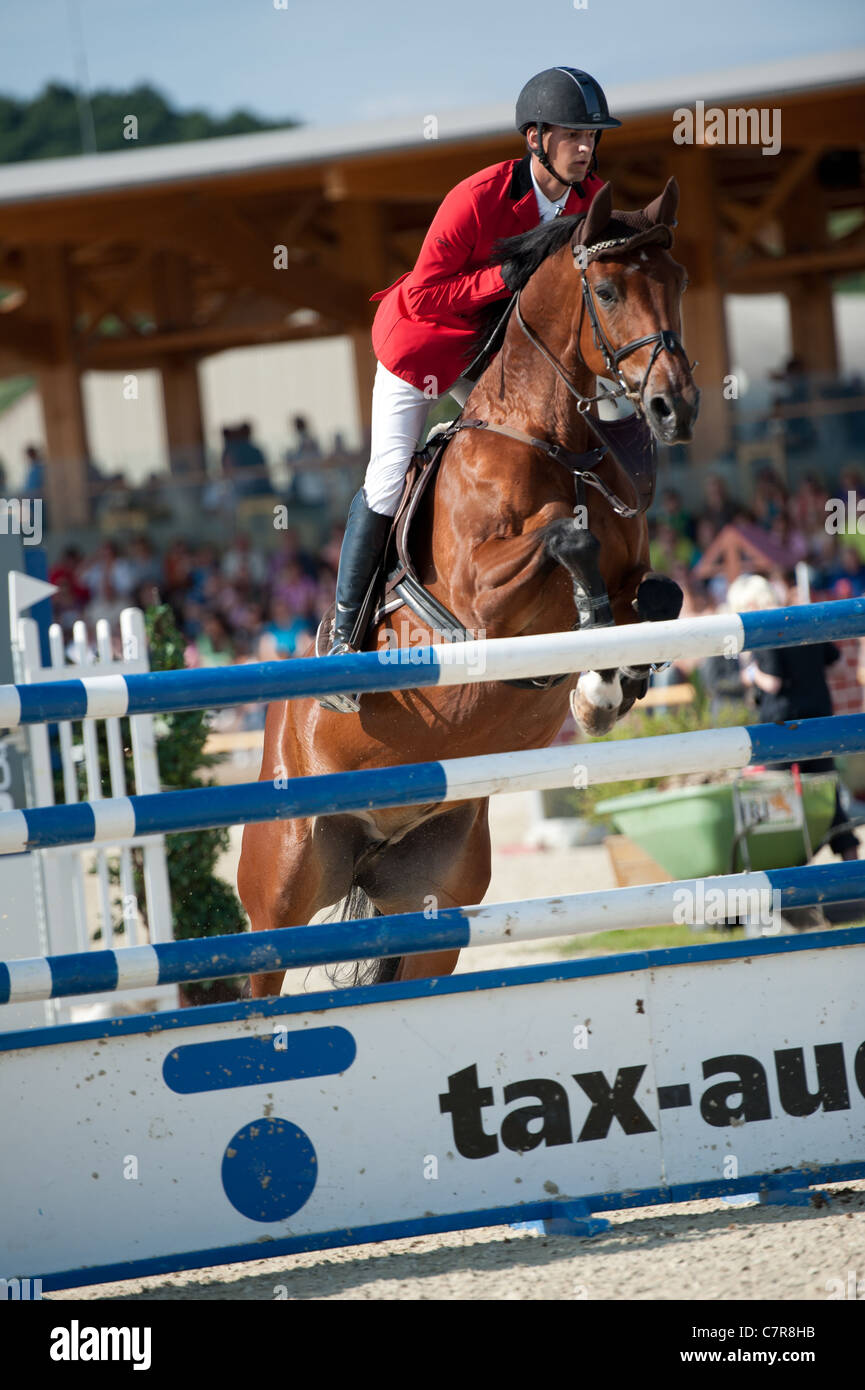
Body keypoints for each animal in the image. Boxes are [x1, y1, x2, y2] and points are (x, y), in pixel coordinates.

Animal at [238, 178, 700, 993]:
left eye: (675, 283)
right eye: (608, 291)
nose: (674, 408)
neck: (551, 441)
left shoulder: (633, 573)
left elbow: (657, 598)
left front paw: (603, 688)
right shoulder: (481, 604)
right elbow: (568, 537)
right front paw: (595, 655)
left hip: (433, 906)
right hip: (282, 886)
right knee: (257, 967)